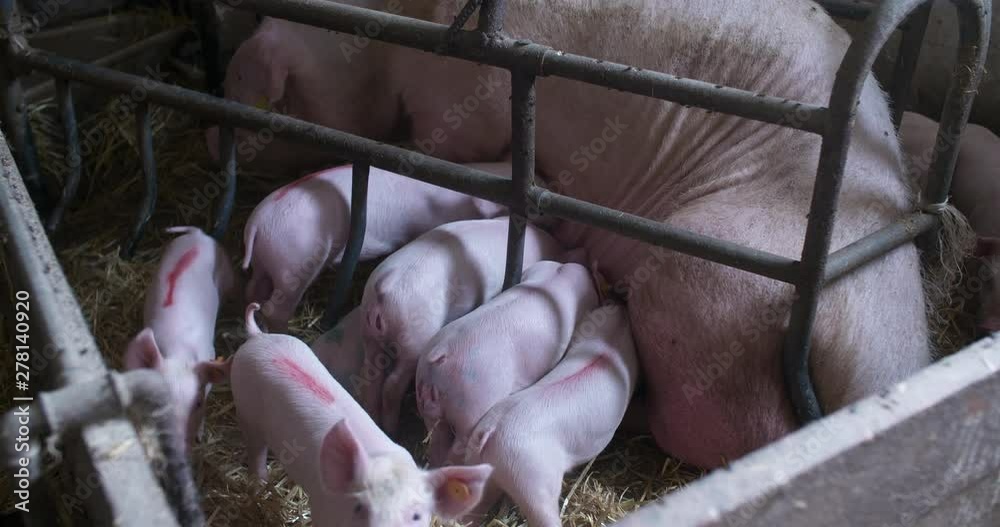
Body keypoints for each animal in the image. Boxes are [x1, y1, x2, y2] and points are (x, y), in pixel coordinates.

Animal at [123, 226, 235, 449]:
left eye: (198, 403)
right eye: (156, 403)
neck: (177, 352)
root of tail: (199, 234)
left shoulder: (210, 355)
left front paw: (200, 435)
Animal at [229, 303, 493, 526]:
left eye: (416, 515)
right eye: (359, 508)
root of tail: (258, 336)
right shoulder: (323, 508)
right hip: (245, 409)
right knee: (256, 450)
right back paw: (259, 484)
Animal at [359, 217, 565, 435]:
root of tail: (387, 285)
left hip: (368, 330)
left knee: (370, 374)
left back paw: (371, 413)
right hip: (413, 340)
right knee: (392, 384)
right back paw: (391, 428)